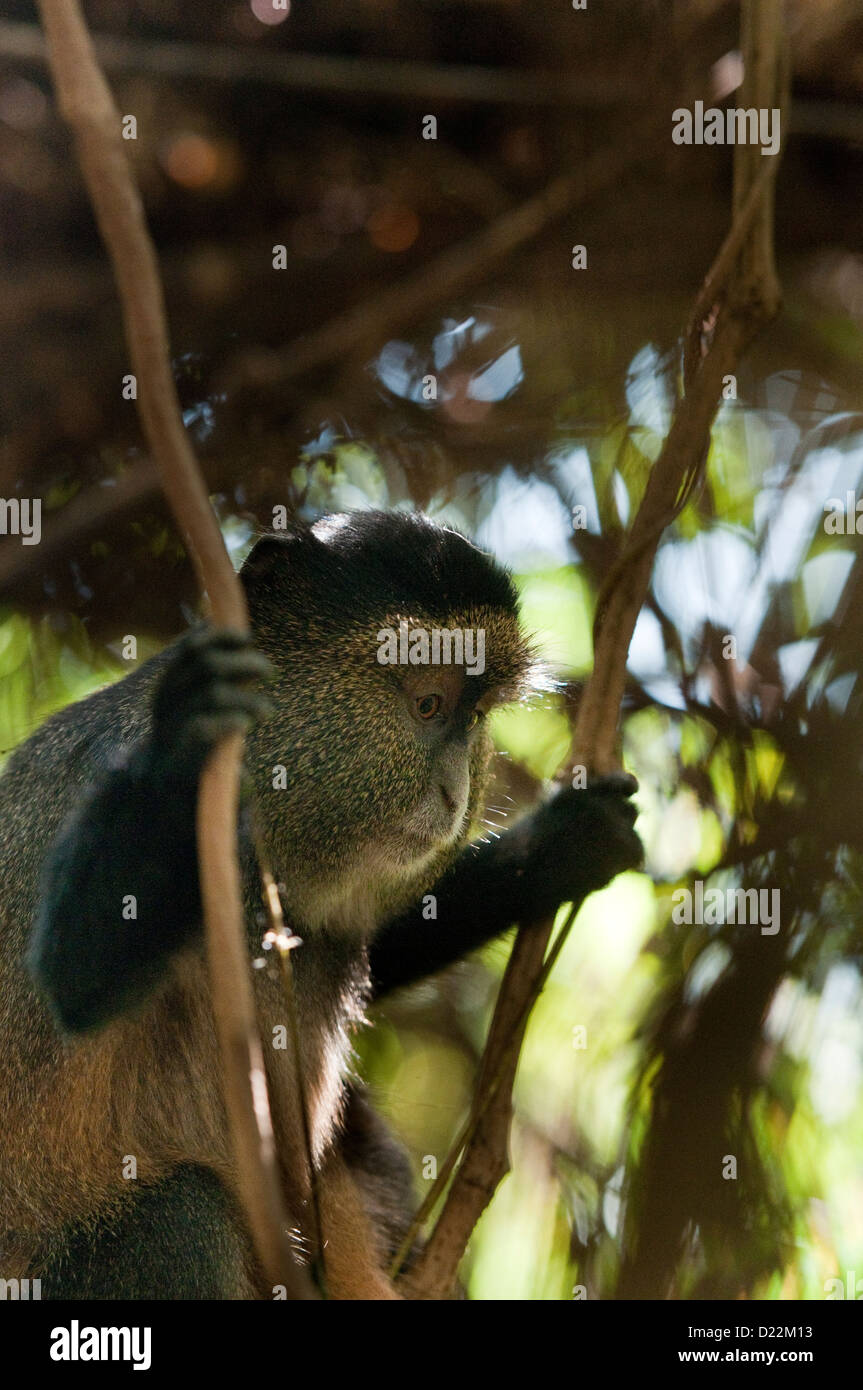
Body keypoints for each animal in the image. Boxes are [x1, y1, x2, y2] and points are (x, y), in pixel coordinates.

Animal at [0, 509, 641, 1299]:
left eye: (474, 717)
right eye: (427, 704)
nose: (454, 791)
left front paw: (564, 844)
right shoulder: (112, 778)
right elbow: (73, 981)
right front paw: (187, 729)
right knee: (179, 1216)